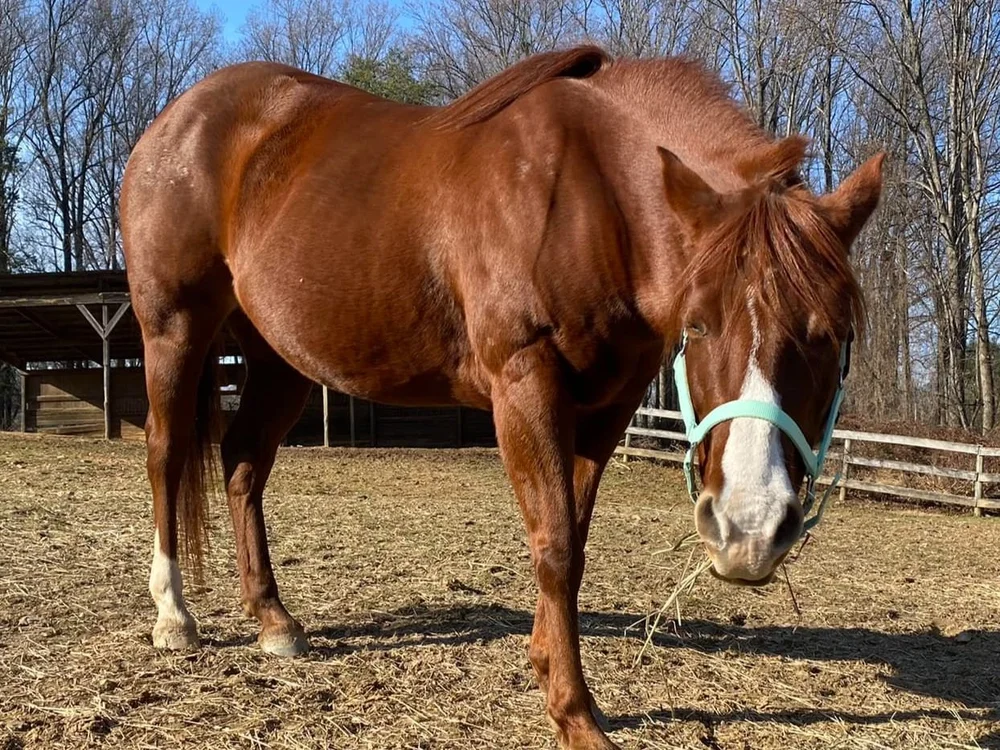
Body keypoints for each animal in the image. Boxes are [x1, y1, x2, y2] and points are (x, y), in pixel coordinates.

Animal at [121, 45, 883, 750]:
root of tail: (175, 119)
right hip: (174, 329)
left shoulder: (604, 408)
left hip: (280, 360)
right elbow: (554, 546)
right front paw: (575, 717)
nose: (750, 528)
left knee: (242, 464)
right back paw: (174, 617)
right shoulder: (525, 385)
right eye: (699, 324)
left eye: (836, 334)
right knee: (165, 455)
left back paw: (273, 620)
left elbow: (572, 542)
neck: (593, 193)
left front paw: (551, 672)